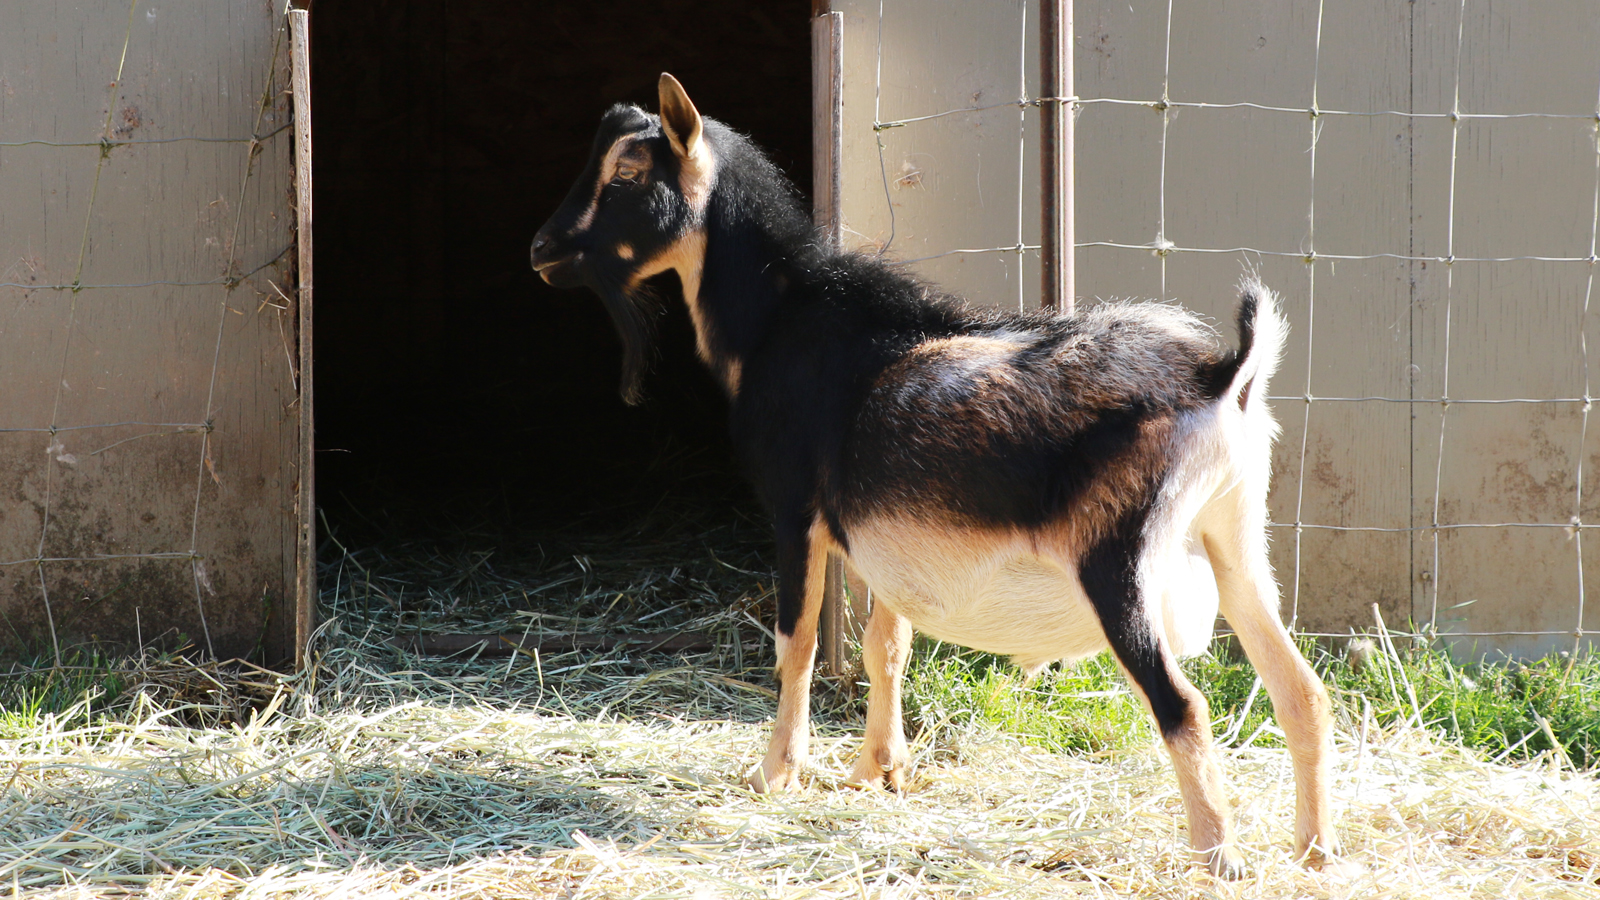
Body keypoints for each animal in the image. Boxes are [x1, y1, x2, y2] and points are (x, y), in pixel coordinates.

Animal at [530, 73, 1338, 878]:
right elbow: (887, 647)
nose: (542, 248)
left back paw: (1219, 859)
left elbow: (797, 643)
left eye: (628, 175)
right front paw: (877, 771)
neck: (781, 322)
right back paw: (1315, 850)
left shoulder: (795, 511)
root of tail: (1224, 376)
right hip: (1236, 539)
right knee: (1301, 689)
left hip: (1121, 563)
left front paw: (773, 775)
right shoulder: (885, 543)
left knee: (1183, 704)